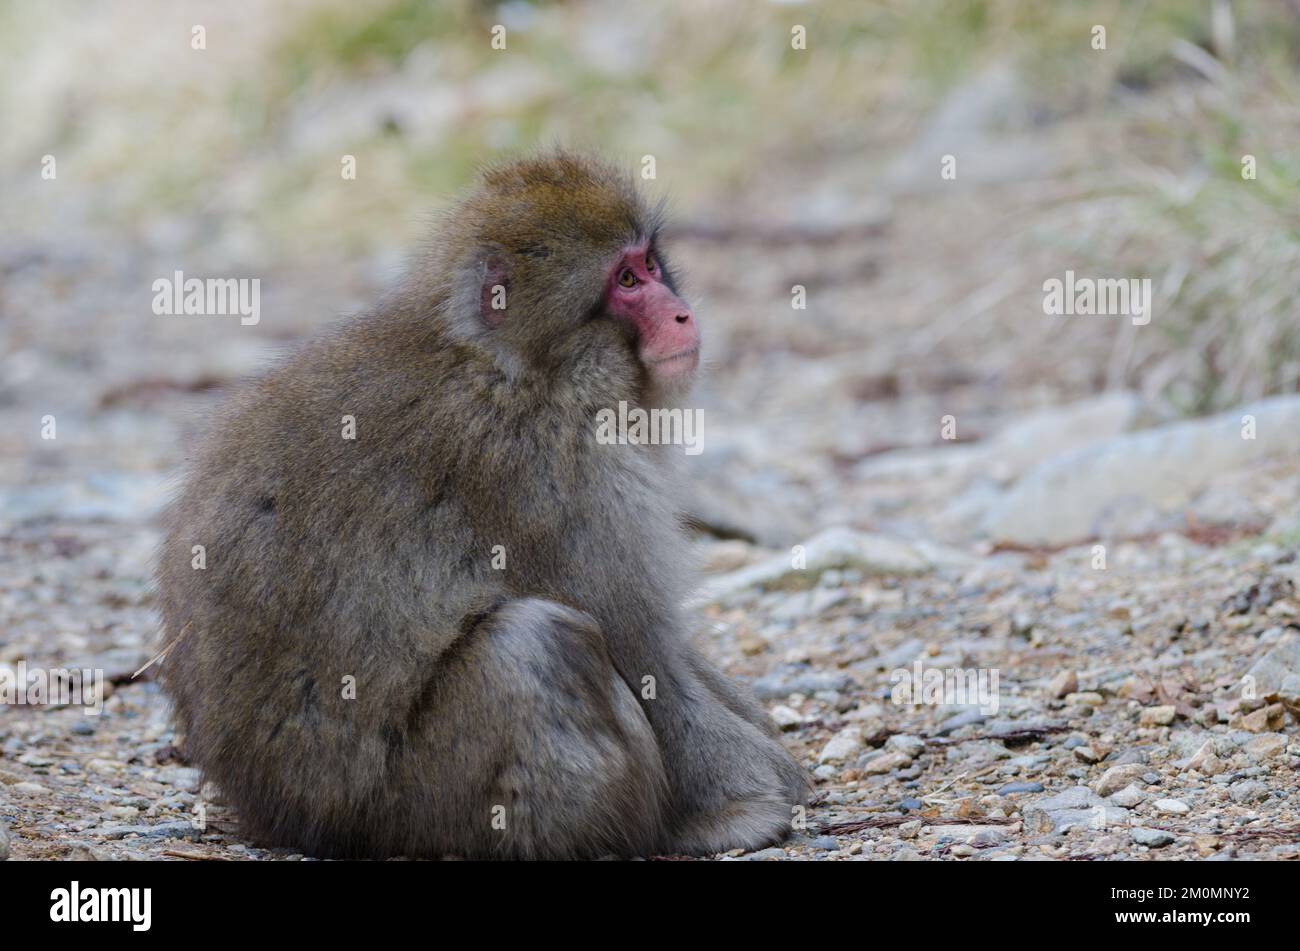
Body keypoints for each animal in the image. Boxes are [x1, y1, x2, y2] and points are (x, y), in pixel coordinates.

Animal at [155, 151, 809, 859]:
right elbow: (642, 653)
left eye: (651, 264)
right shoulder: (557, 480)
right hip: (406, 807)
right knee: (533, 644)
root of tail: (269, 811)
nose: (684, 314)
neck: (527, 376)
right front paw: (740, 808)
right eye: (627, 281)